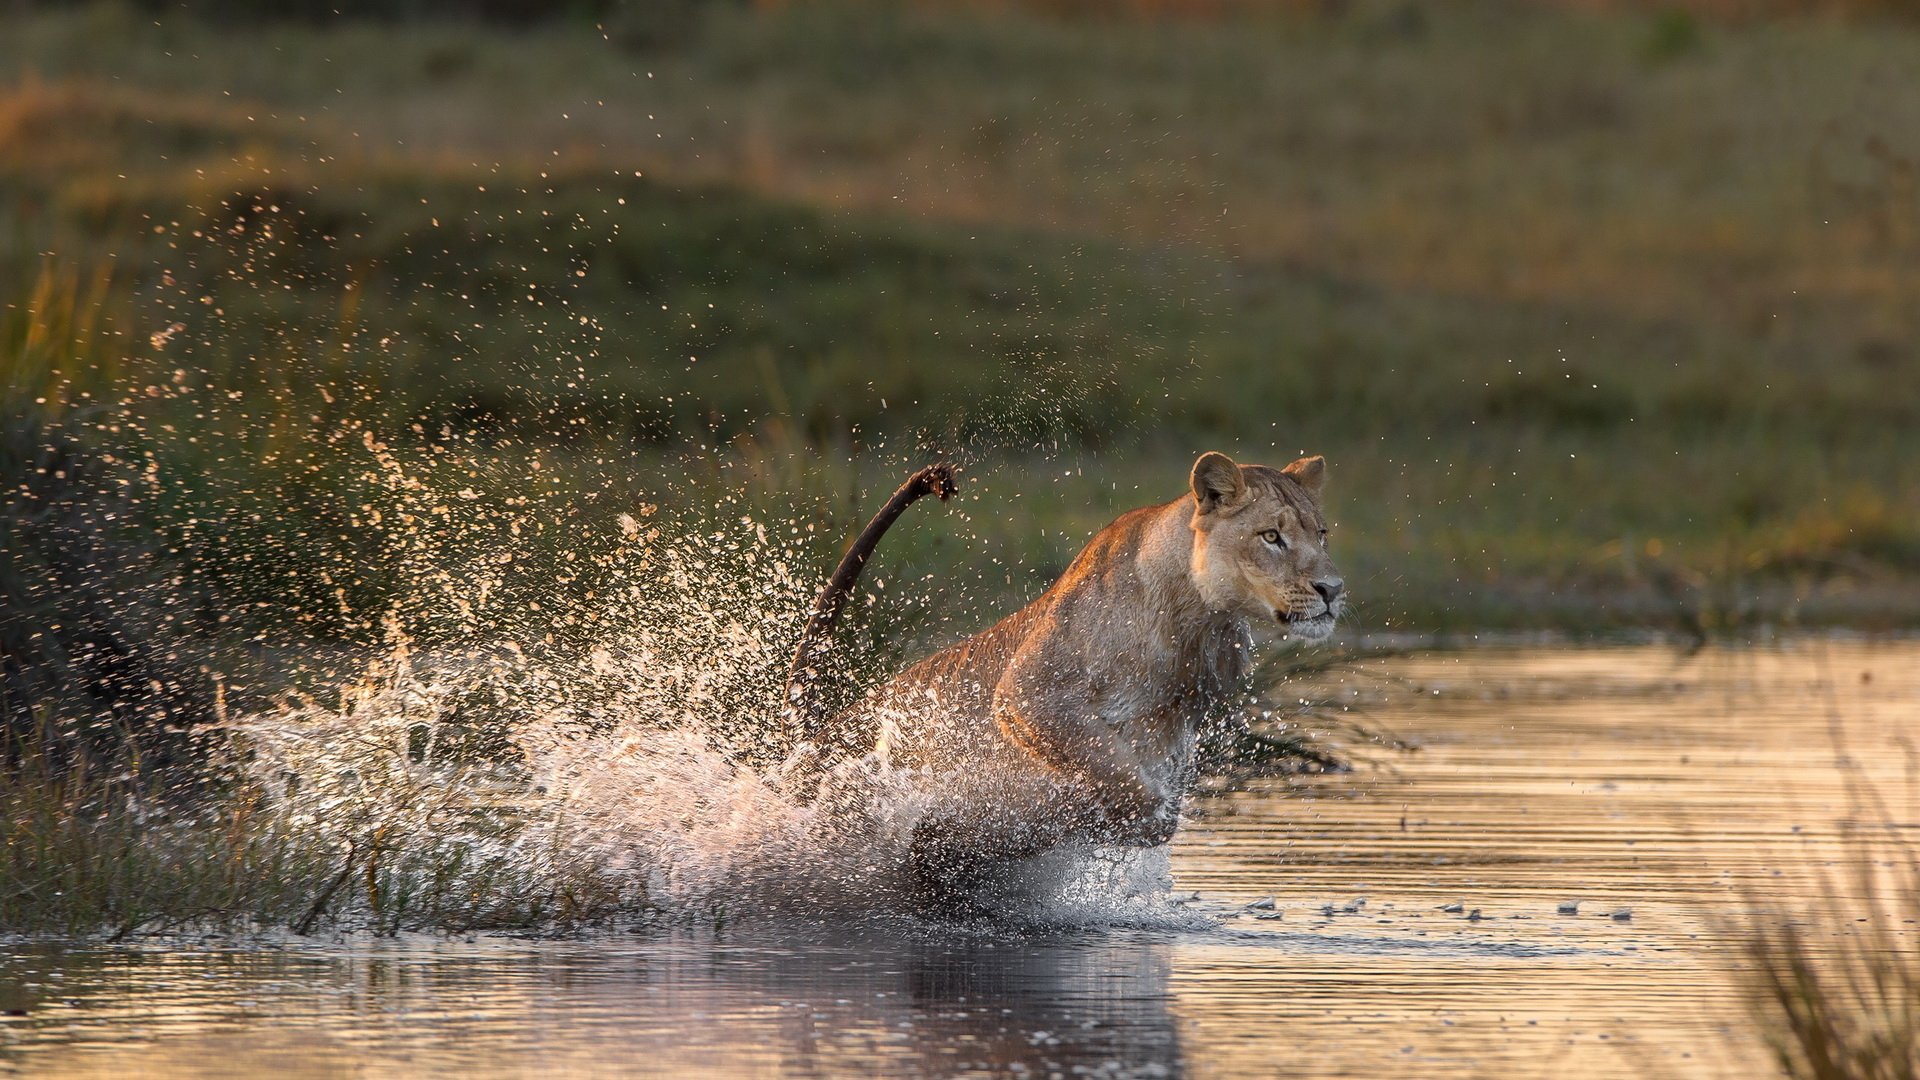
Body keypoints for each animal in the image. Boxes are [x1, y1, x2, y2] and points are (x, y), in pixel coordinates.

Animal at [779, 451, 1344, 903]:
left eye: (1321, 533)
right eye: (1271, 537)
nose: (1333, 589)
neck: (1200, 619)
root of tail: (811, 741)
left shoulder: (1168, 731)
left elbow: (1150, 811)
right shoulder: (1030, 695)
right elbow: (1128, 791)